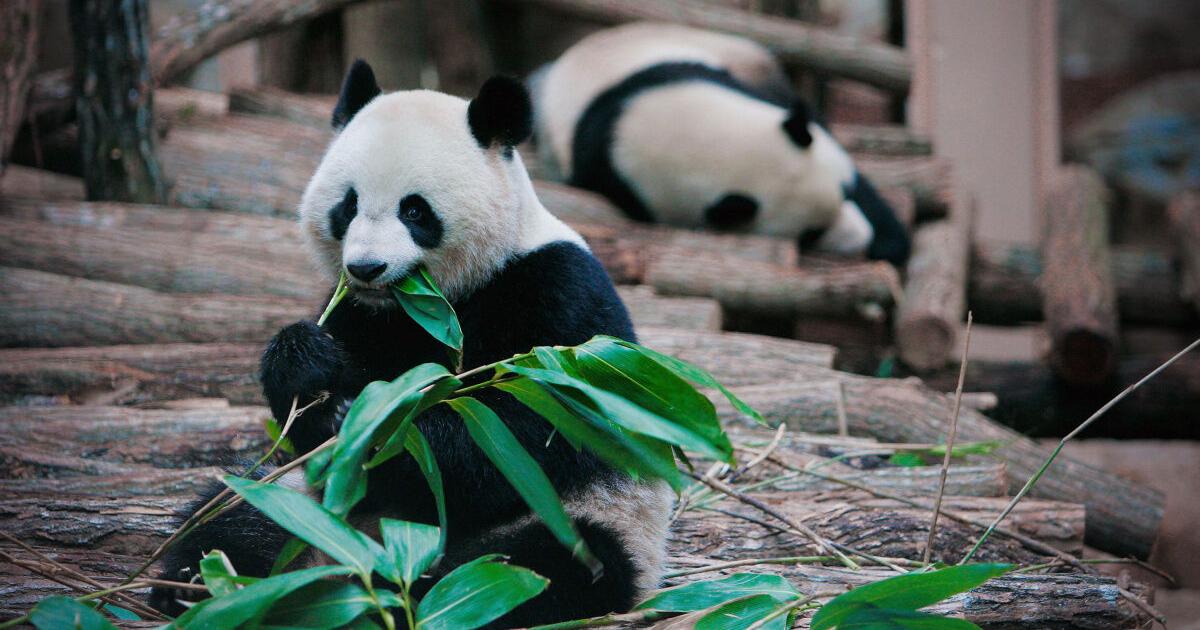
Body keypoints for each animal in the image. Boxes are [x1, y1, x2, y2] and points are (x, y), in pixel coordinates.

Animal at [149, 60, 673, 628]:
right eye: (348, 205)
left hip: (590, 519)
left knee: (546, 566)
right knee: (235, 516)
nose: (366, 267)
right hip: (303, 506)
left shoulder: (558, 298)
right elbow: (308, 412)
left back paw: (416, 597)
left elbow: (533, 429)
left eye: (415, 211)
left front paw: (376, 434)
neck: (432, 299)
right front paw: (310, 372)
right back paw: (199, 583)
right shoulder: (363, 315)